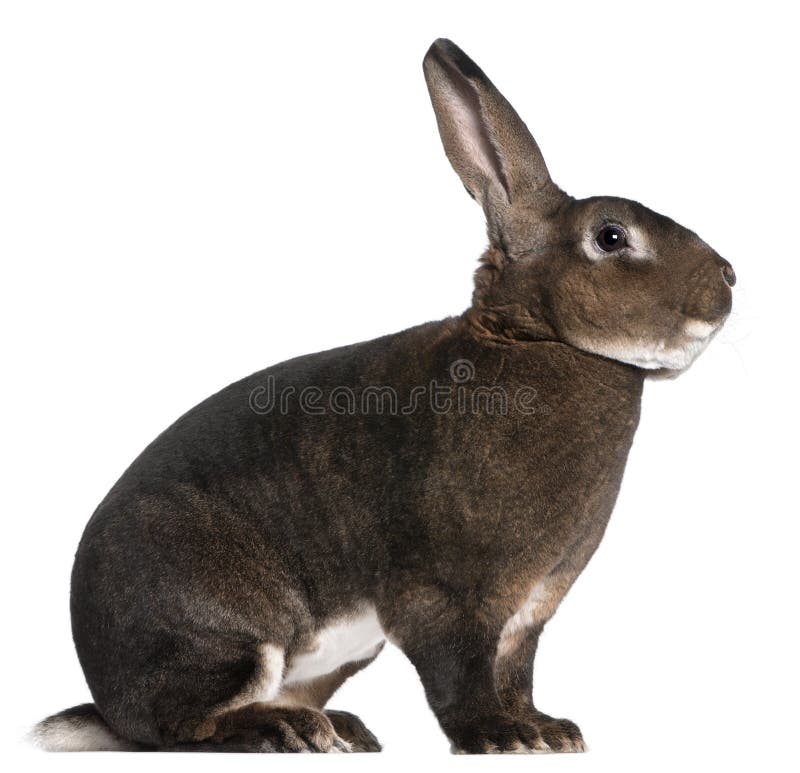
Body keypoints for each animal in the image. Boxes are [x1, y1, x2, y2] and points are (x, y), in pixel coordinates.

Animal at [33, 38, 734, 754]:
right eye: (611, 236)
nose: (729, 279)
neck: (536, 340)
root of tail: (107, 701)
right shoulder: (444, 599)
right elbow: (459, 676)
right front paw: (498, 737)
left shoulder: (528, 613)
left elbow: (516, 673)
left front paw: (548, 731)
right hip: (220, 633)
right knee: (180, 725)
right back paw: (285, 729)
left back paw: (341, 729)